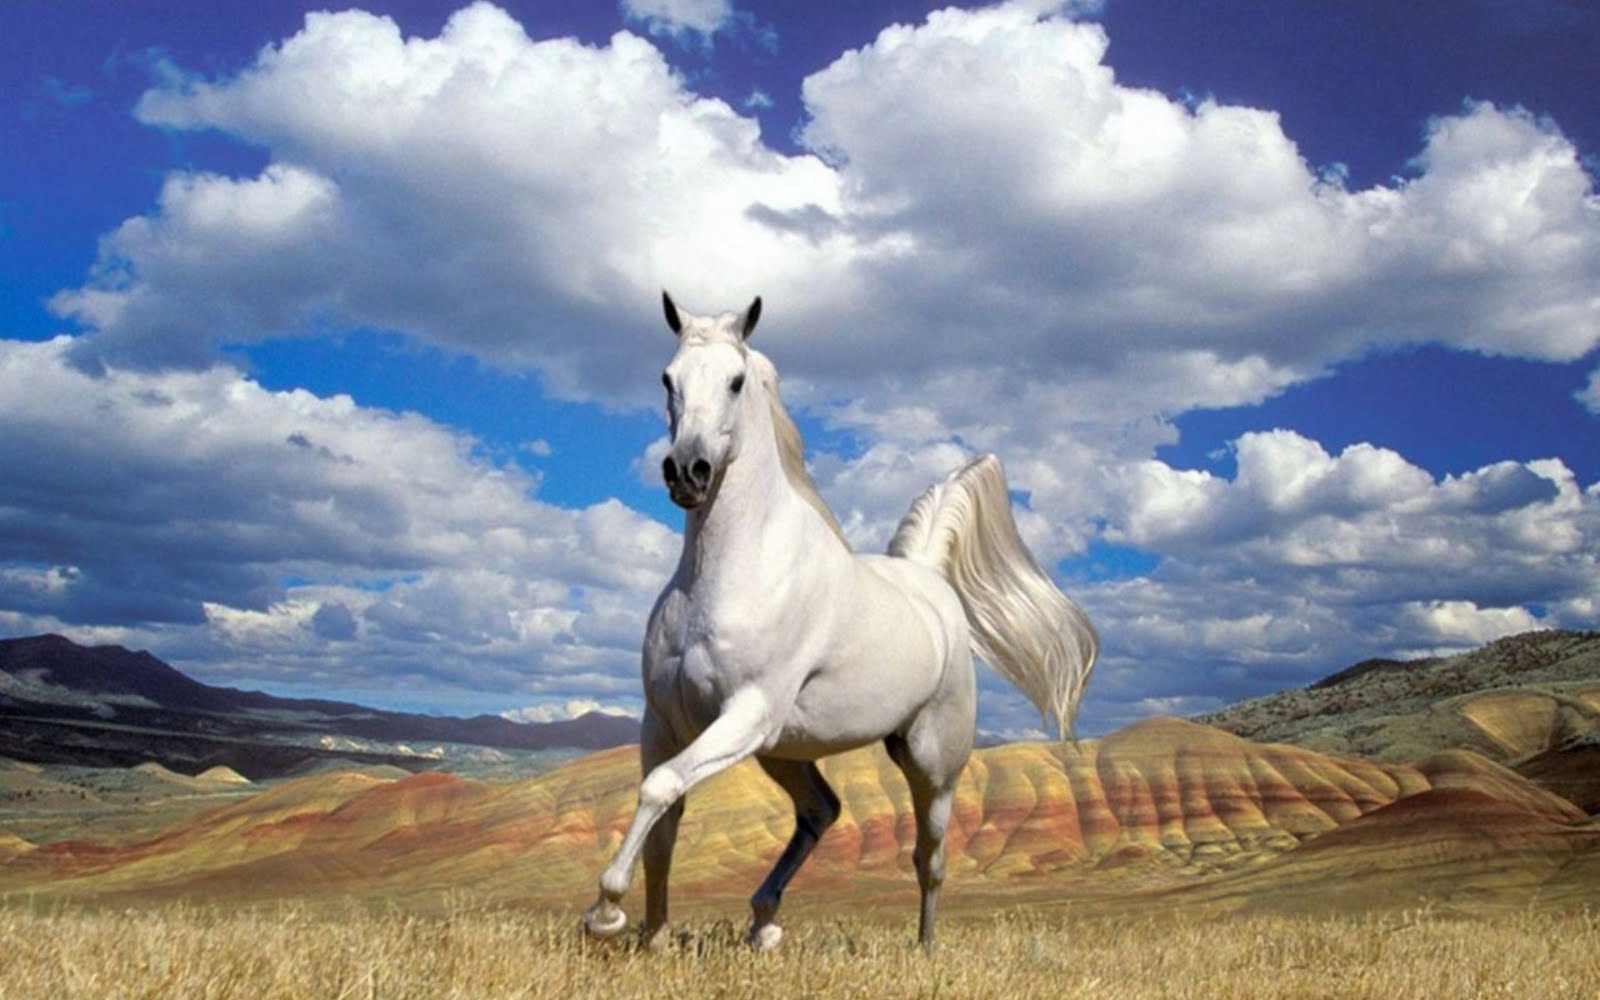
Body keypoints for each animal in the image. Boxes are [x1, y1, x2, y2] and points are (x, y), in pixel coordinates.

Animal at [582, 294, 1098, 954]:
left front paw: (606, 912)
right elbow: (664, 823)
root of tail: (928, 580)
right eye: (667, 379)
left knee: (929, 858)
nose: (686, 472)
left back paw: (924, 950)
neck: (725, 576)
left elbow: (660, 788)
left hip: (930, 762)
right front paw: (654, 940)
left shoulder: (745, 711)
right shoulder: (666, 721)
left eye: (736, 380)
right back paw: (764, 922)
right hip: (783, 749)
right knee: (821, 810)